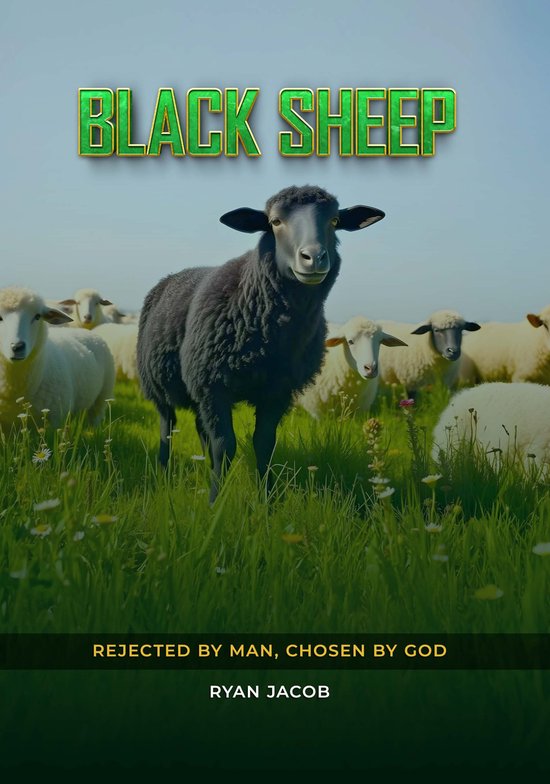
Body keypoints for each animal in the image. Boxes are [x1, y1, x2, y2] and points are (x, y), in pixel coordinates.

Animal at [137, 184, 386, 501]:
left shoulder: (276, 390)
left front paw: (267, 500)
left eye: (334, 221)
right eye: (275, 222)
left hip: (196, 388)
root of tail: (173, 275)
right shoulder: (214, 386)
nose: (314, 257)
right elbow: (224, 446)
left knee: (200, 428)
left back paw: (203, 470)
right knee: (167, 428)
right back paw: (163, 472)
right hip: (159, 386)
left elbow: (264, 445)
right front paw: (215, 501)